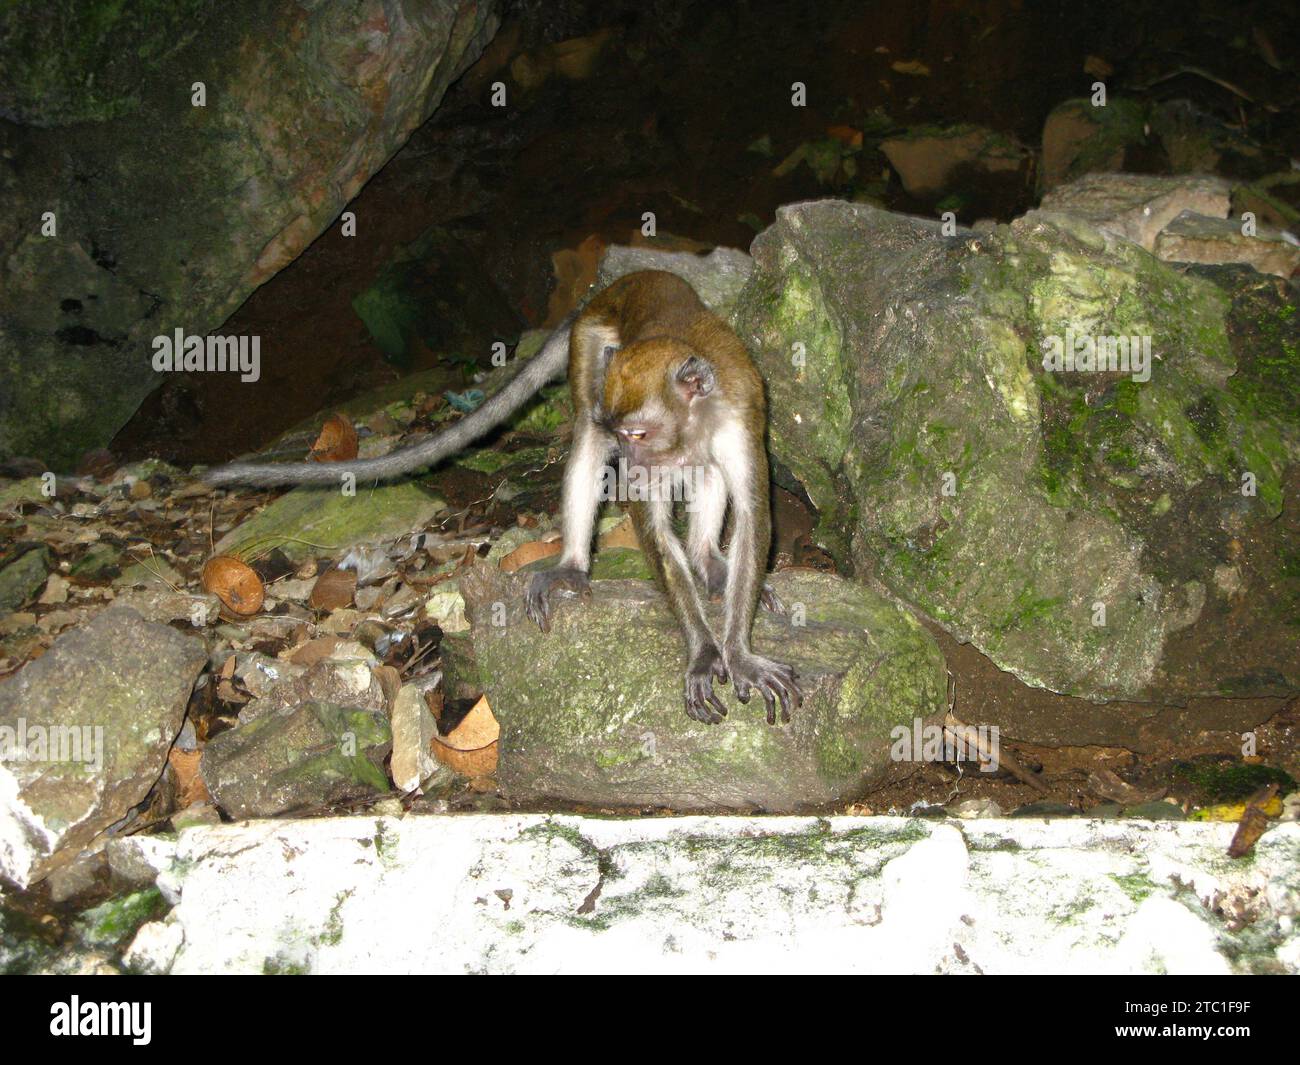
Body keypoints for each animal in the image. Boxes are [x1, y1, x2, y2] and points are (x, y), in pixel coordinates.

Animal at [206, 269, 800, 724]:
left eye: (640, 434)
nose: (631, 463)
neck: (695, 418)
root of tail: (617, 285)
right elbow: (649, 521)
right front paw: (704, 652)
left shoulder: (739, 419)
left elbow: (754, 518)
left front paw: (738, 651)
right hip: (591, 348)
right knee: (587, 440)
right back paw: (574, 565)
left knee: (704, 474)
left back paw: (707, 561)